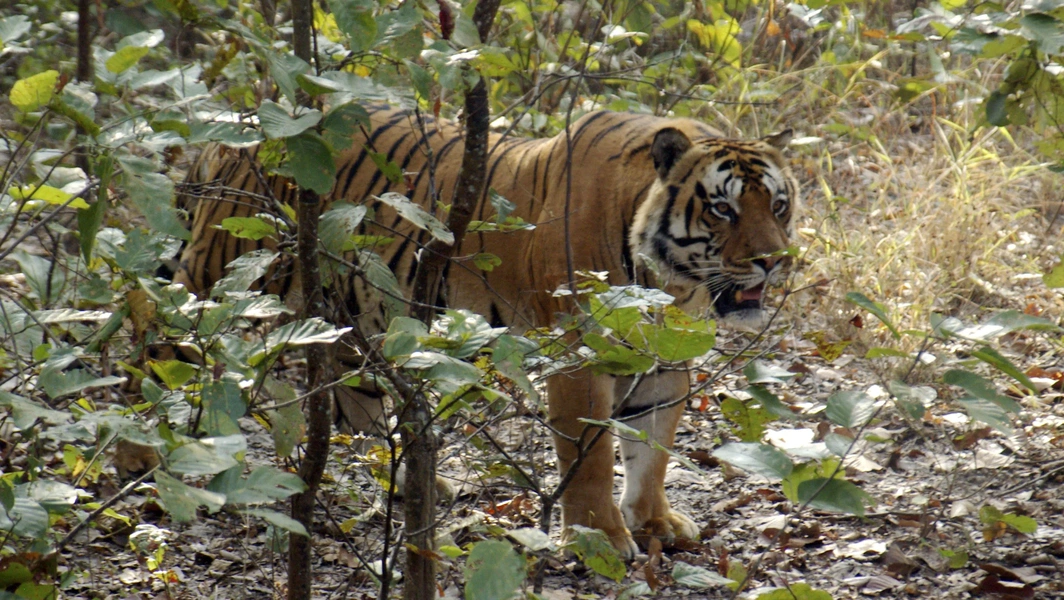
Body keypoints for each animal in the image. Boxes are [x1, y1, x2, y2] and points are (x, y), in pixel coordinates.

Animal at [174, 105, 798, 558]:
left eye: (779, 205)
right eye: (722, 209)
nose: (774, 261)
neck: (671, 286)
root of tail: (227, 134)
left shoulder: (663, 360)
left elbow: (651, 451)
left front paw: (654, 524)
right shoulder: (577, 355)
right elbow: (592, 457)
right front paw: (598, 539)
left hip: (354, 317)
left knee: (359, 405)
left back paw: (421, 488)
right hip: (217, 283)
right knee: (169, 356)